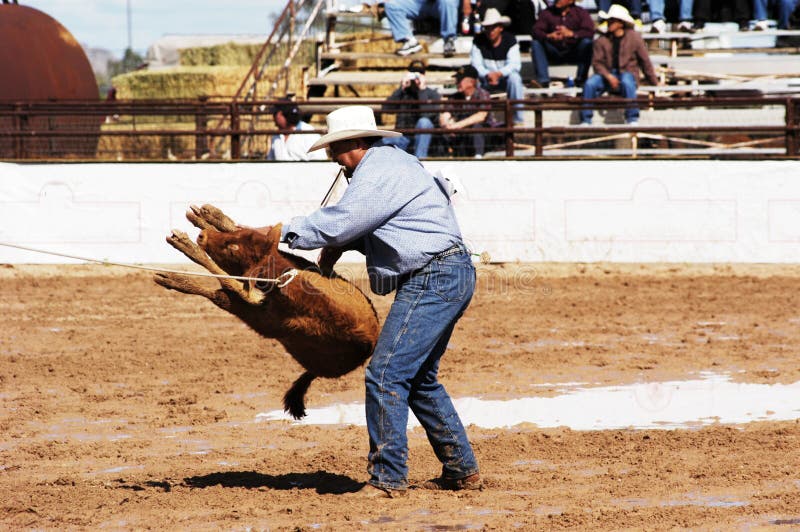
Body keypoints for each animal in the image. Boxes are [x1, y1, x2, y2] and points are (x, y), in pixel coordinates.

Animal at [154, 204, 379, 419]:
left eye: (233, 248)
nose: (202, 236)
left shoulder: (260, 317)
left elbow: (223, 286)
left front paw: (184, 253)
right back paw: (210, 216)